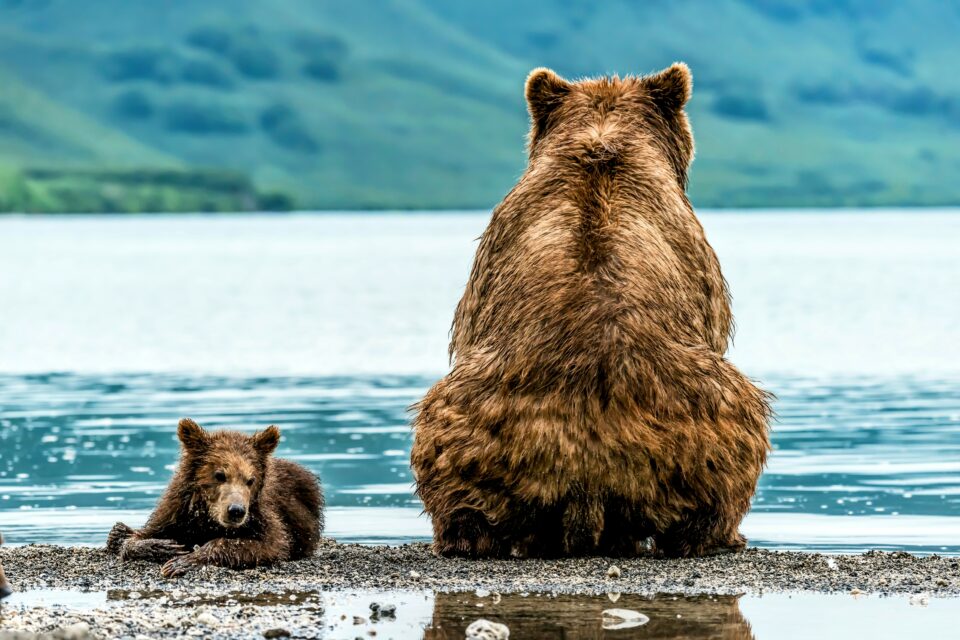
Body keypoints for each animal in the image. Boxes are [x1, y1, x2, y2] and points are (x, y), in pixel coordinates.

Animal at [107, 418, 324, 577]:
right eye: (219, 475)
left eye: (250, 480)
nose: (236, 511)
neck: (208, 518)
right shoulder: (176, 510)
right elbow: (139, 538)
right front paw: (163, 546)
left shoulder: (263, 518)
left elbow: (269, 545)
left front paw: (182, 562)